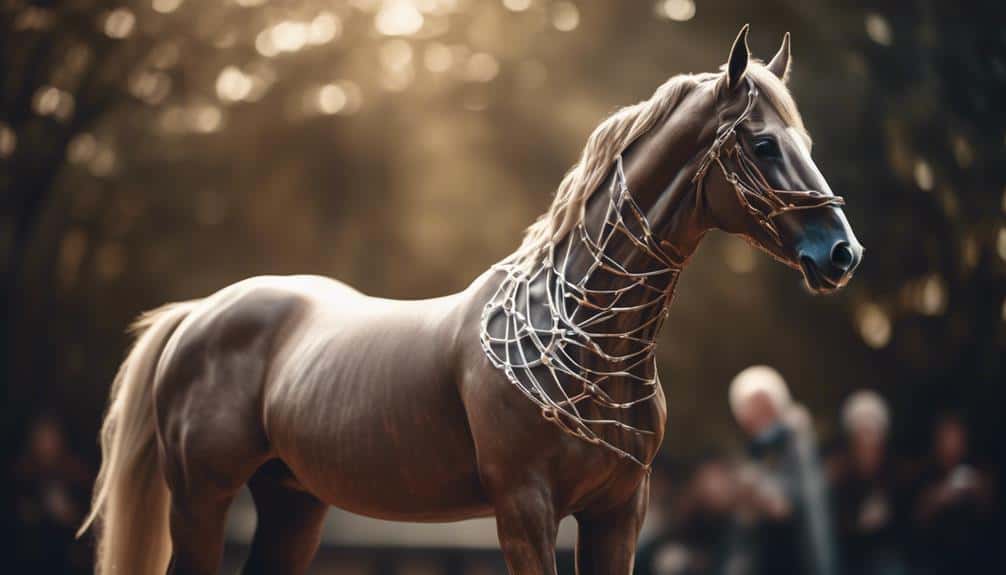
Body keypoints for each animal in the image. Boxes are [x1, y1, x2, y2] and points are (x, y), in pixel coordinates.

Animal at [78, 26, 863, 575]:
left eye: (804, 140)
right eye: (762, 145)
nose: (842, 253)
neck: (583, 333)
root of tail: (200, 314)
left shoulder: (619, 511)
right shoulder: (524, 509)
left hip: (291, 503)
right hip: (201, 498)